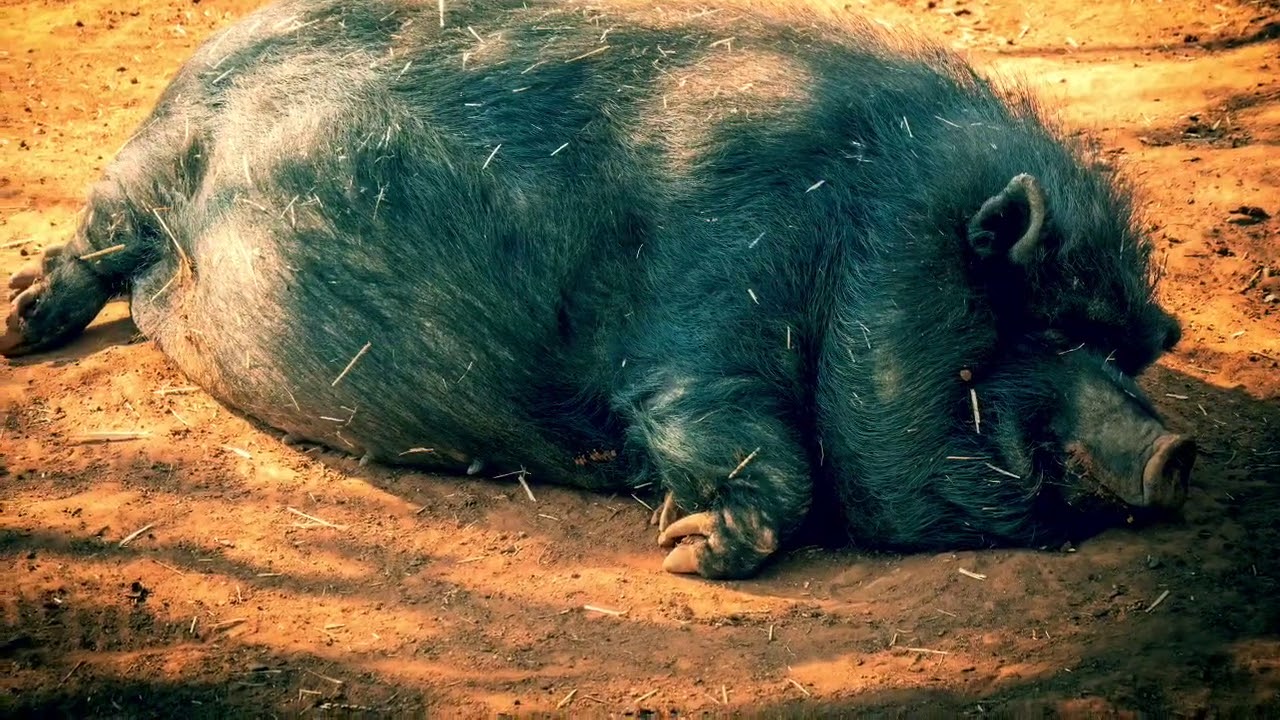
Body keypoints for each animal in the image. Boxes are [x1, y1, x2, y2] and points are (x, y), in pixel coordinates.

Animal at [1, 0, 1195, 579]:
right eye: (1041, 320)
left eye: (1129, 348)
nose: (1177, 449)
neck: (861, 235)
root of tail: (202, 51)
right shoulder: (700, 327)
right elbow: (765, 453)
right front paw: (682, 551)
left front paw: (680, 538)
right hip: (142, 169)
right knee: (90, 244)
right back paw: (18, 327)